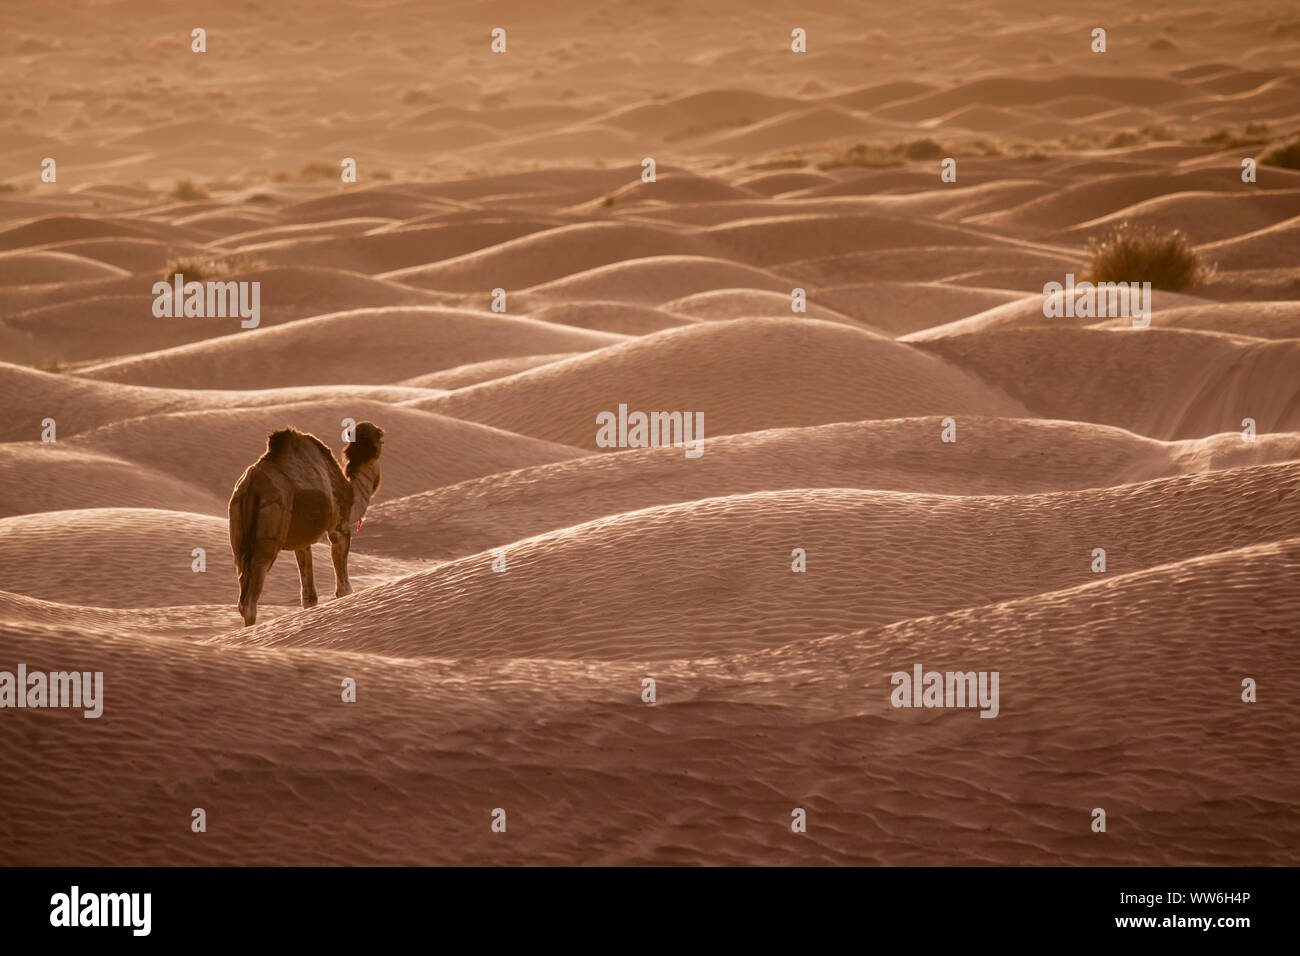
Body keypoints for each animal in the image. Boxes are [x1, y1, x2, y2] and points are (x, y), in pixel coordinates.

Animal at [228, 422, 385, 626]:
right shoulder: (339, 525)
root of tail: (249, 486)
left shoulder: (302, 542)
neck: (352, 494)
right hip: (270, 524)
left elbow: (309, 597)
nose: (382, 431)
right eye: (379, 436)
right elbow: (344, 589)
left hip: (237, 534)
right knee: (250, 598)